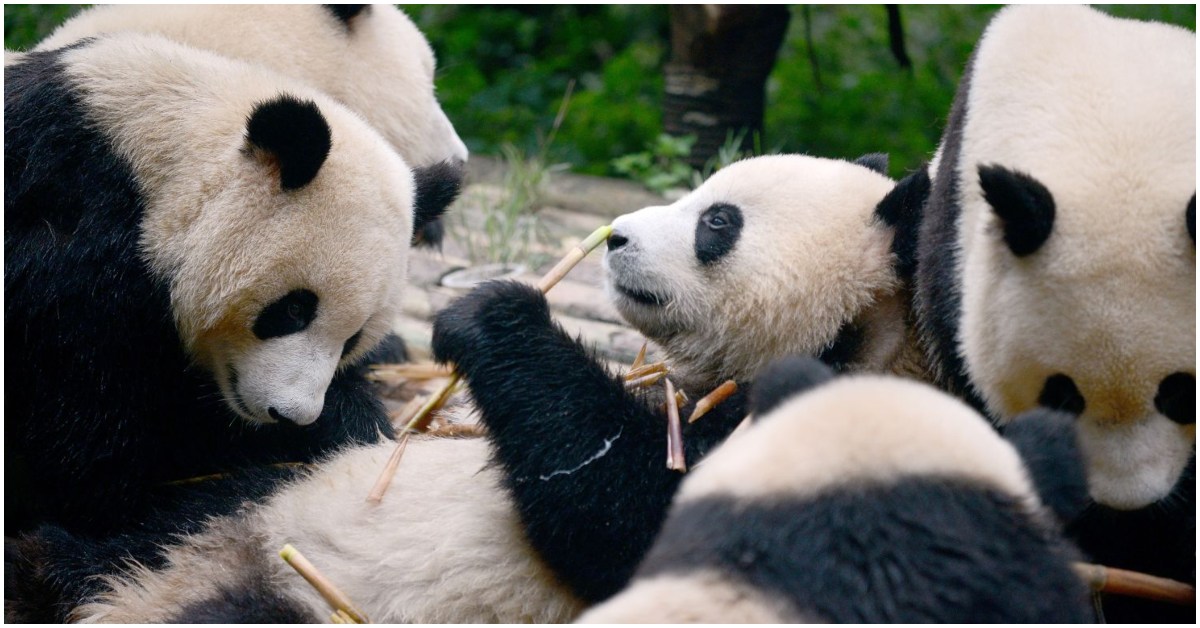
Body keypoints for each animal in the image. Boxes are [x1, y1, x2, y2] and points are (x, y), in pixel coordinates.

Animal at [50, 153, 930, 622]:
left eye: (720, 221)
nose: (615, 238)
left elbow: (627, 510)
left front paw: (490, 313)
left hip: (315, 603)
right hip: (254, 507)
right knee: (163, 523)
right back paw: (53, 561)